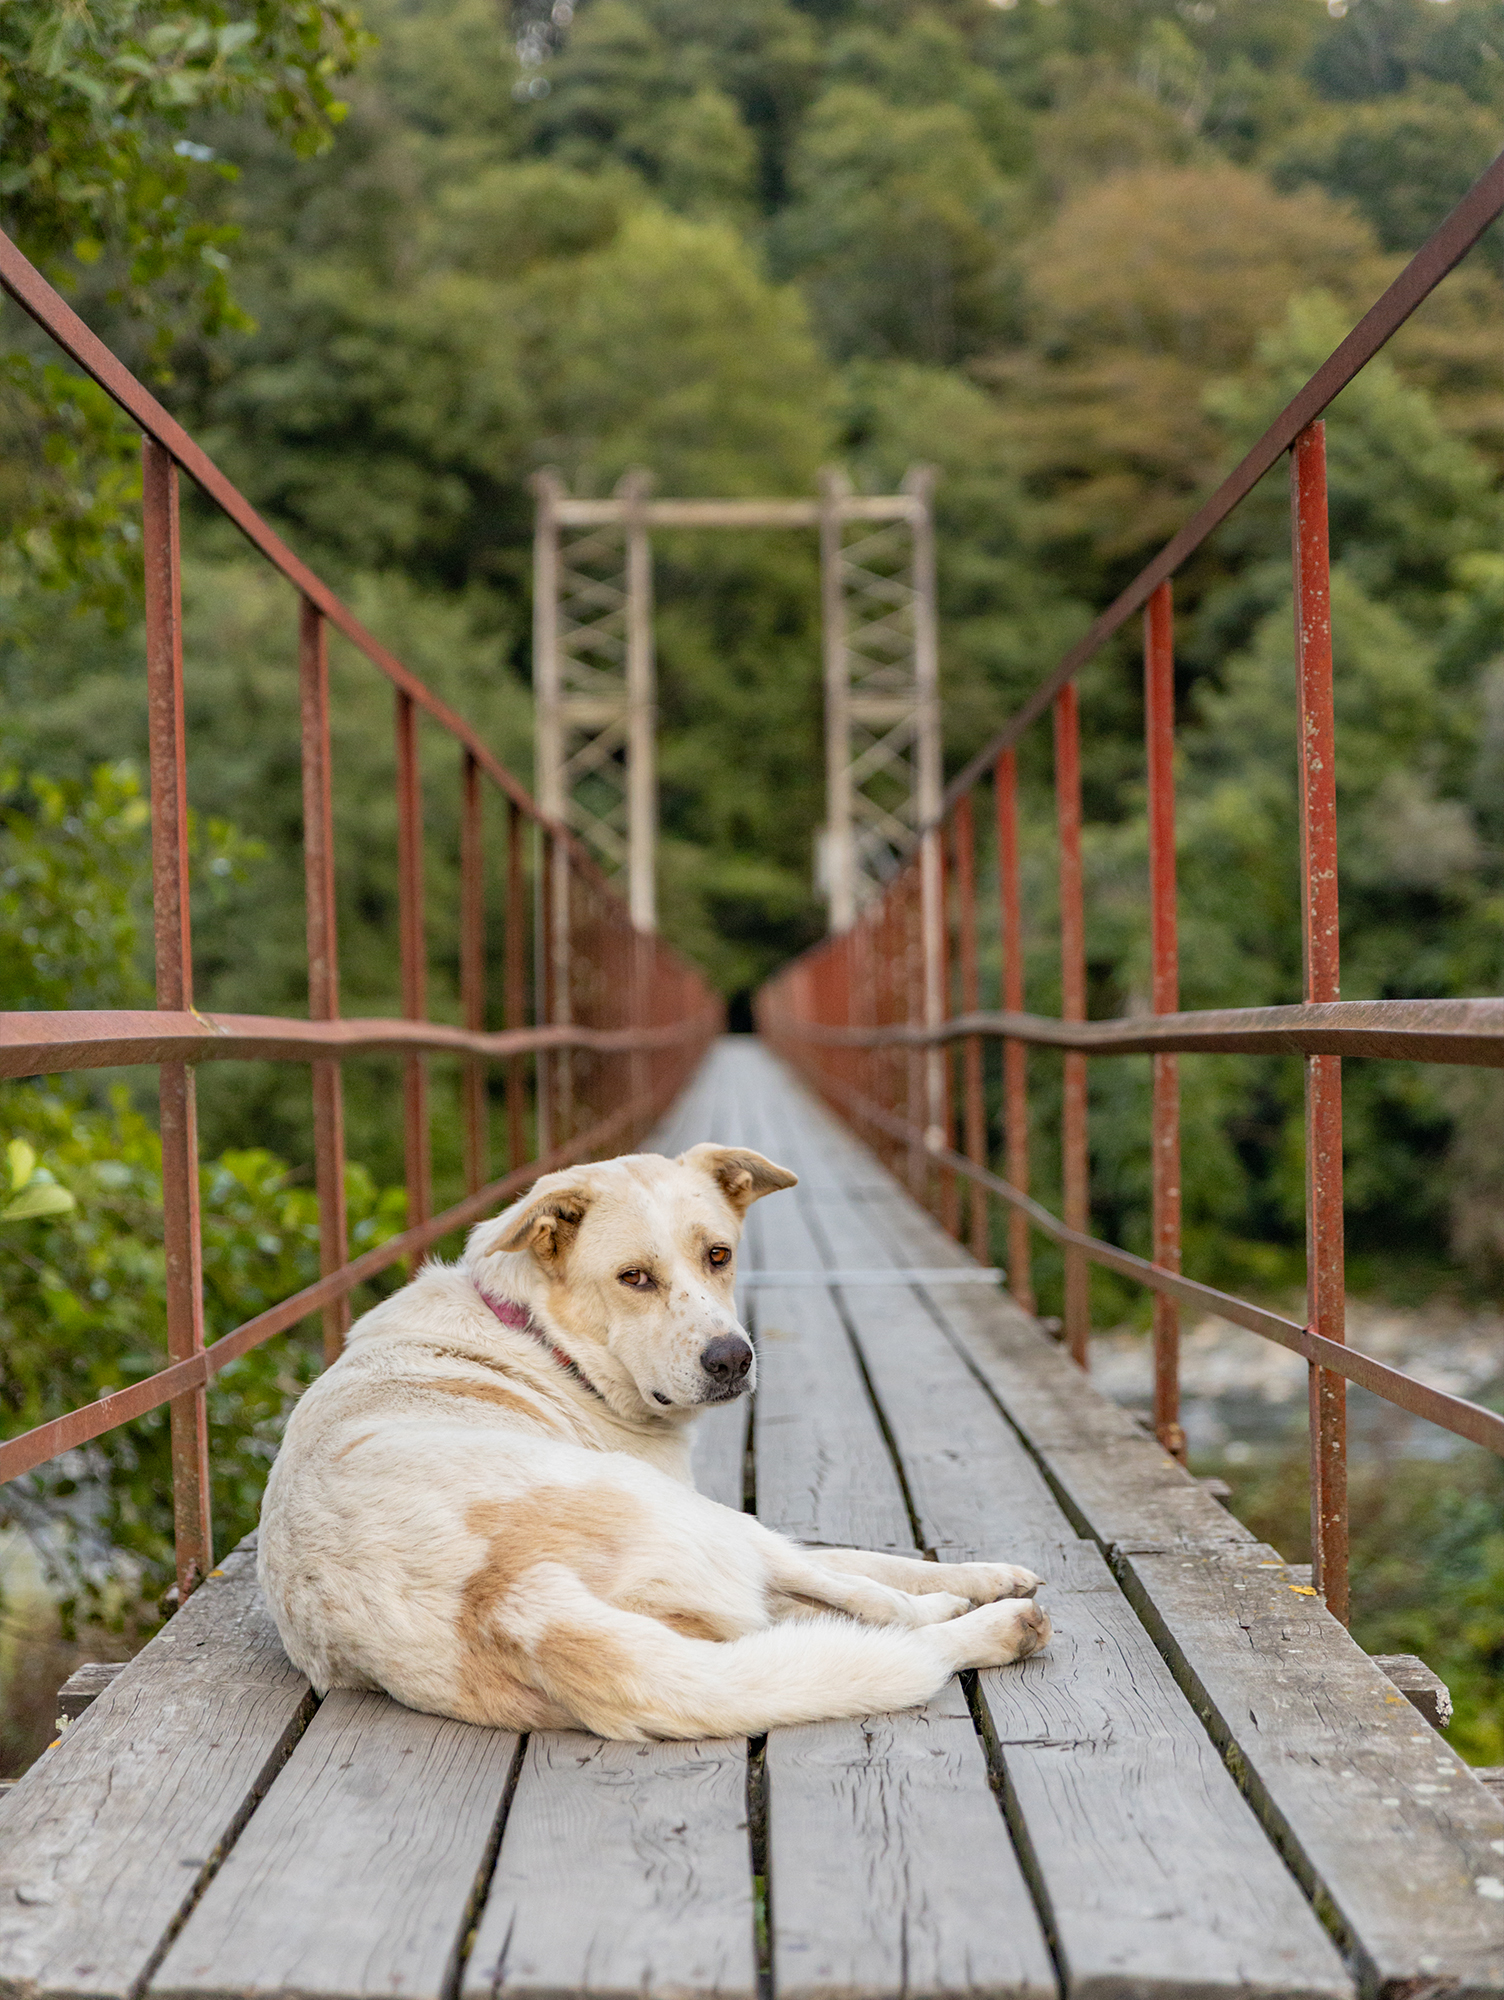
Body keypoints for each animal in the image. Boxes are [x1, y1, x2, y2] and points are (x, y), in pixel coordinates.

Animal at [258, 1152, 1048, 1744]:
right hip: (712, 1525)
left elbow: (861, 1564)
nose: (733, 1359)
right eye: (634, 1278)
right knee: (884, 1615)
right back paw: (996, 1622)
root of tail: (516, 1603)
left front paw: (994, 1573)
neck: (545, 1337)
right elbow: (868, 1568)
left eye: (719, 1255)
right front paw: (983, 1586)